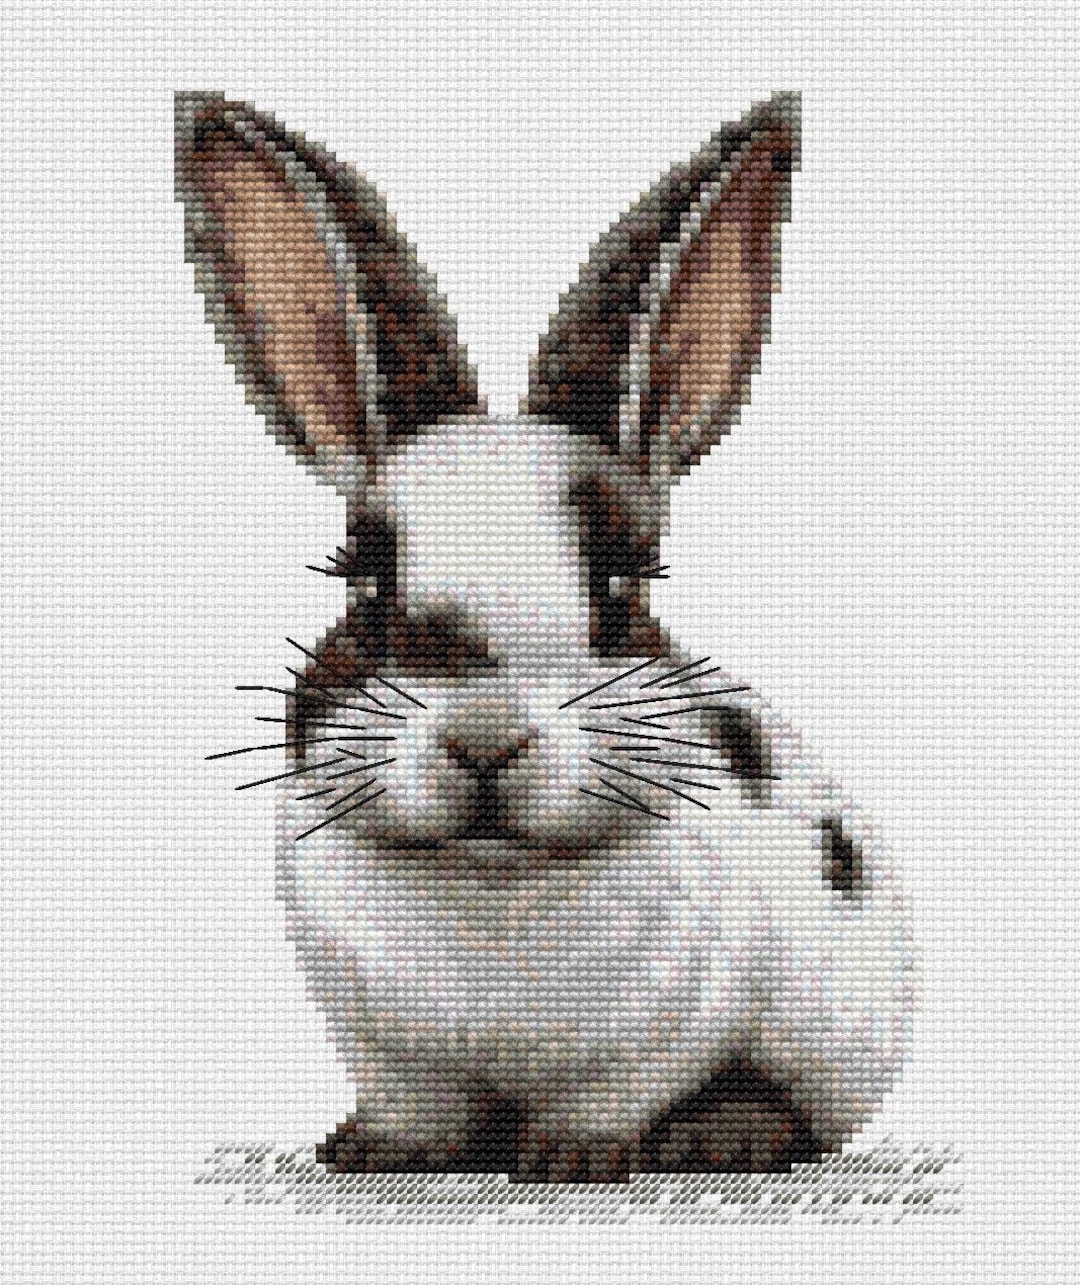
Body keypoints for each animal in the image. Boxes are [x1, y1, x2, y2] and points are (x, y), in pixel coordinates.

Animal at [176, 90, 914, 1182]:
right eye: (362, 580)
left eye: (622, 583)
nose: (486, 740)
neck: (493, 884)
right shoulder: (382, 1042)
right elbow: (414, 1103)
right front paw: (380, 1149)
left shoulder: (676, 1022)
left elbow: (615, 1094)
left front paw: (571, 1155)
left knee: (796, 1105)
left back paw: (723, 1133)